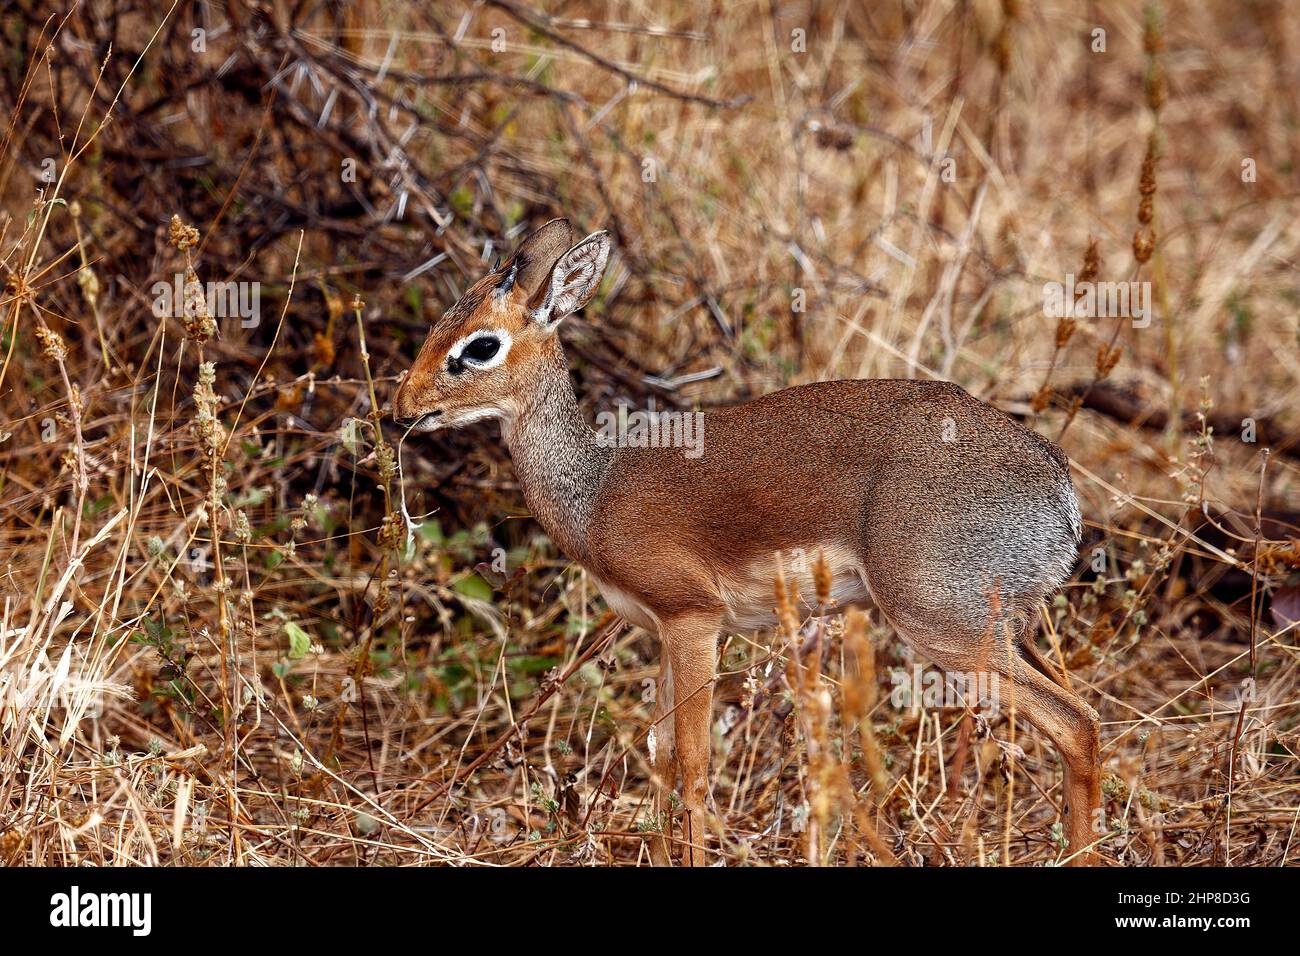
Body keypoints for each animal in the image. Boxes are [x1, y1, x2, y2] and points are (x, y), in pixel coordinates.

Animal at [392, 219, 1102, 866]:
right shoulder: (659, 632)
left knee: (1078, 722)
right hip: (1006, 630)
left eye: (480, 345)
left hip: (943, 625)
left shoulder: (694, 619)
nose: (403, 405)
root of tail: (1056, 483)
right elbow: (660, 755)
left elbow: (694, 764)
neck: (593, 487)